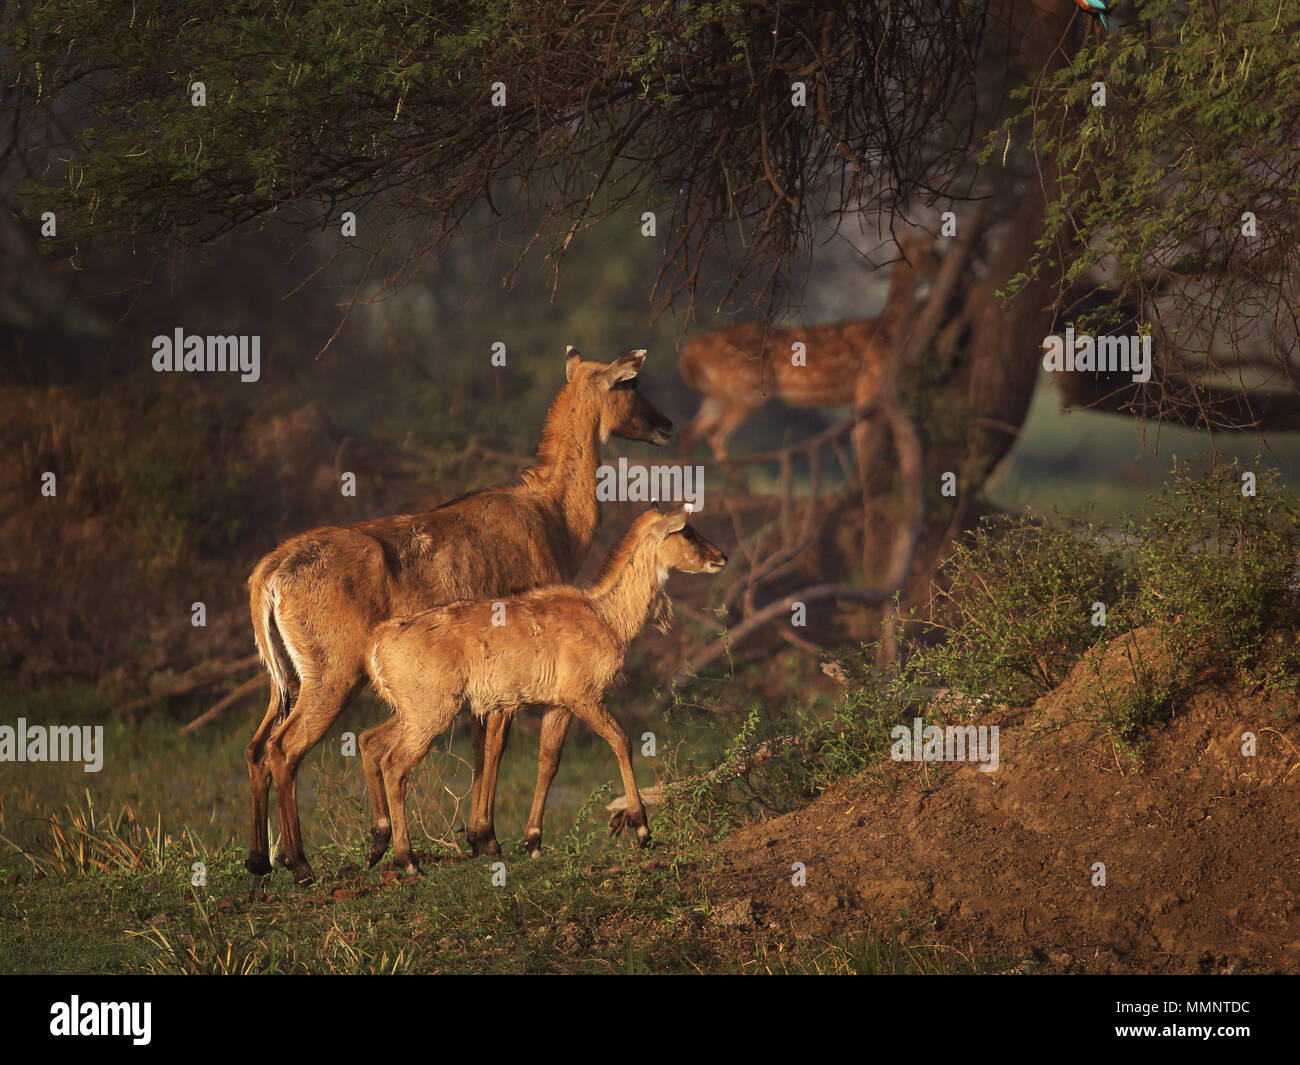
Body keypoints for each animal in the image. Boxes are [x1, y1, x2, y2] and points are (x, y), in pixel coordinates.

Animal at [246, 346, 673, 885]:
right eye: (631, 384)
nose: (666, 423)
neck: (552, 515)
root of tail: (269, 573)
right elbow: (498, 745)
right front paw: (488, 837)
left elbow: (479, 744)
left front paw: (479, 836)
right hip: (332, 677)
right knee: (284, 750)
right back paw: (300, 862)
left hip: (285, 682)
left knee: (256, 748)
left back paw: (263, 858)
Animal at [360, 505, 727, 876]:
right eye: (687, 532)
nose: (721, 557)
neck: (607, 616)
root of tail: (377, 643)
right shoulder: (584, 696)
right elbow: (622, 741)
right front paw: (641, 829)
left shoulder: (558, 705)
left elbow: (548, 762)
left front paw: (533, 840)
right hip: (431, 713)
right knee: (395, 765)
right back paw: (408, 860)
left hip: (415, 712)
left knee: (369, 740)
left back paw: (377, 844)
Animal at [677, 230, 941, 460]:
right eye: (929, 251)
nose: (939, 270)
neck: (888, 330)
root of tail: (688, 353)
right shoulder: (870, 382)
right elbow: (861, 440)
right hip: (741, 389)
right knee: (713, 435)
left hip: (715, 394)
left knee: (689, 432)